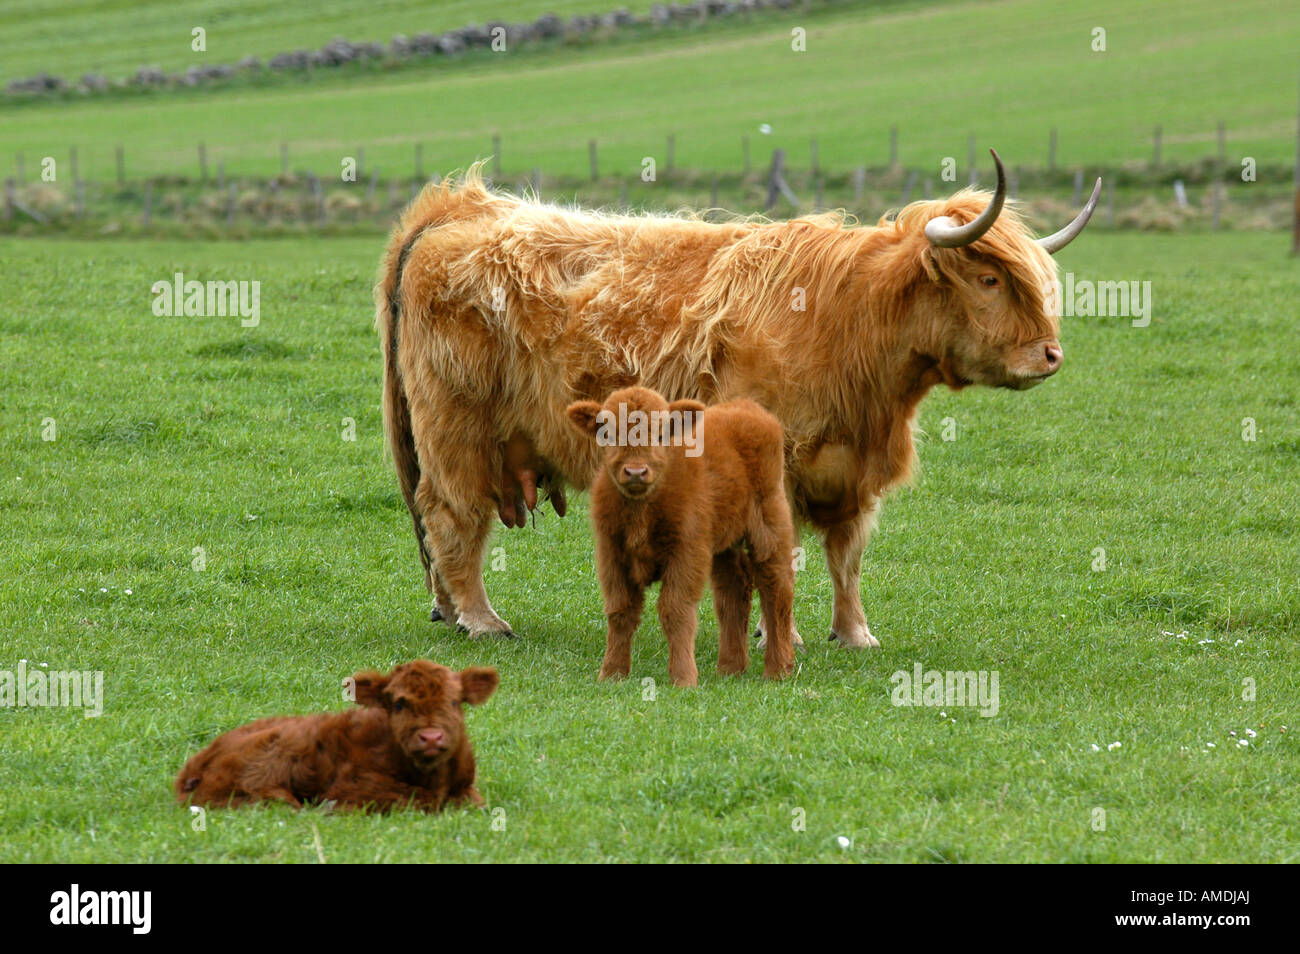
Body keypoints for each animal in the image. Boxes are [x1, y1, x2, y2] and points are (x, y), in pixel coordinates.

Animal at [175, 661, 498, 812]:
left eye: (454, 702)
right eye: (398, 703)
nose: (431, 736)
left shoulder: (467, 788)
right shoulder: (355, 785)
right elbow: (411, 799)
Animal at [376, 149, 1099, 645]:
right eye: (989, 279)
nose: (1051, 355)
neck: (854, 322)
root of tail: (458, 207)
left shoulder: (854, 472)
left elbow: (847, 556)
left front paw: (855, 634)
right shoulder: (778, 461)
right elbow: (784, 551)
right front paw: (783, 634)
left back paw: (452, 612)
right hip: (456, 431)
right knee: (453, 517)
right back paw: (482, 619)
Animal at [567, 386, 796, 687]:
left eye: (661, 434)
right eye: (609, 434)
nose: (636, 472)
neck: (642, 509)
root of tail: (746, 408)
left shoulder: (687, 552)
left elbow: (675, 610)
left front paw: (683, 678)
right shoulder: (611, 554)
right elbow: (620, 611)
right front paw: (612, 673)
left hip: (769, 524)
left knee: (776, 585)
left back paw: (778, 669)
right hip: (723, 544)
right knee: (733, 590)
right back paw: (730, 668)